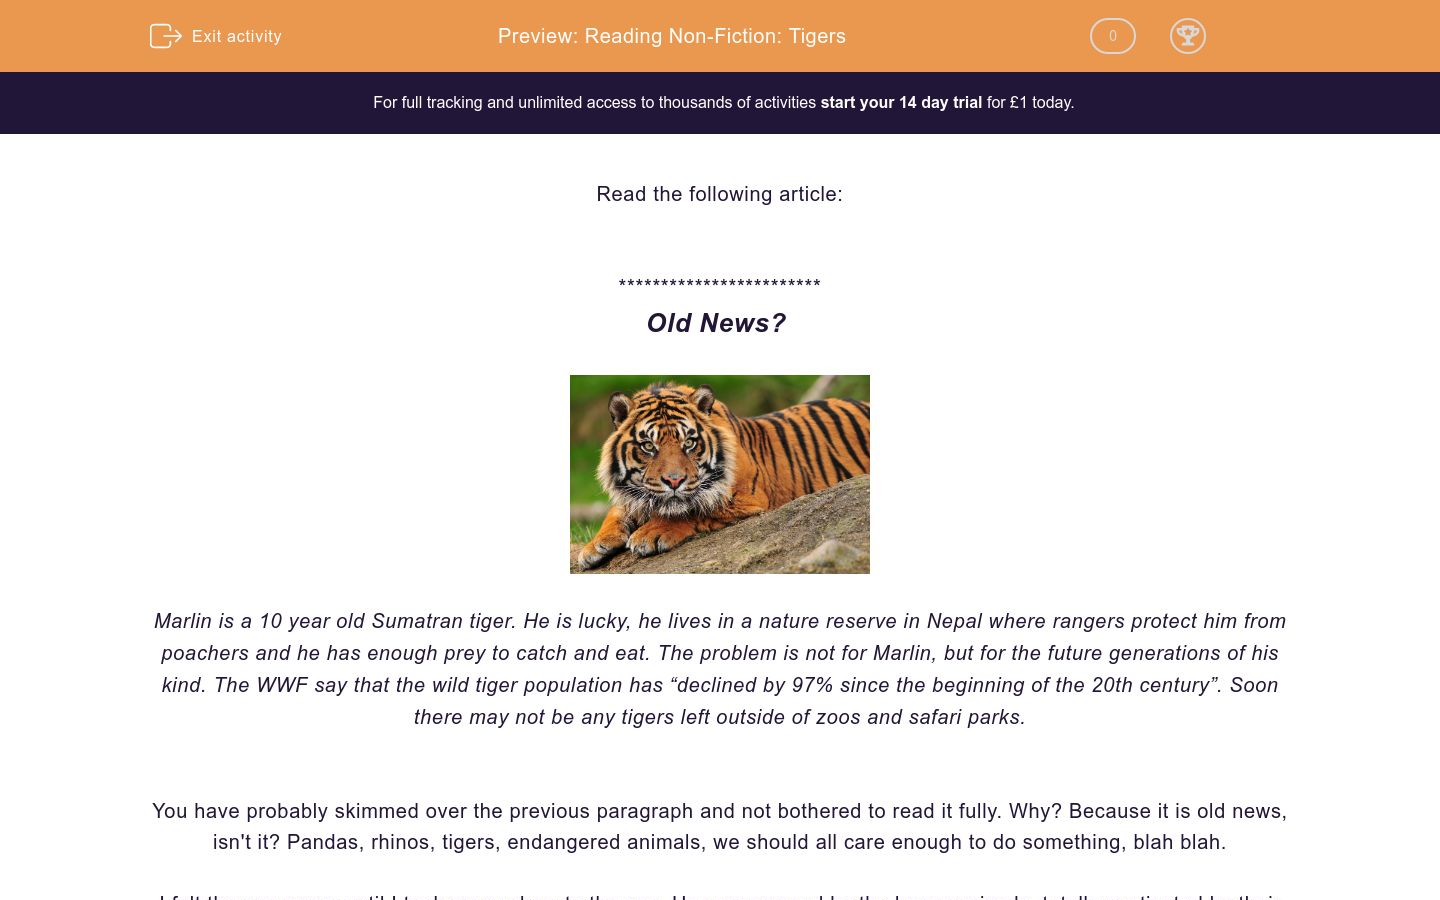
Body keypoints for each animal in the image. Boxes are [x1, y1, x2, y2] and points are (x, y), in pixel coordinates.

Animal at [576, 382, 870, 569]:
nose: (674, 481)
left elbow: (691, 510)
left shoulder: (747, 499)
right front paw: (594, 546)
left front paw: (650, 534)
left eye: (689, 443)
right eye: (649, 446)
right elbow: (616, 511)